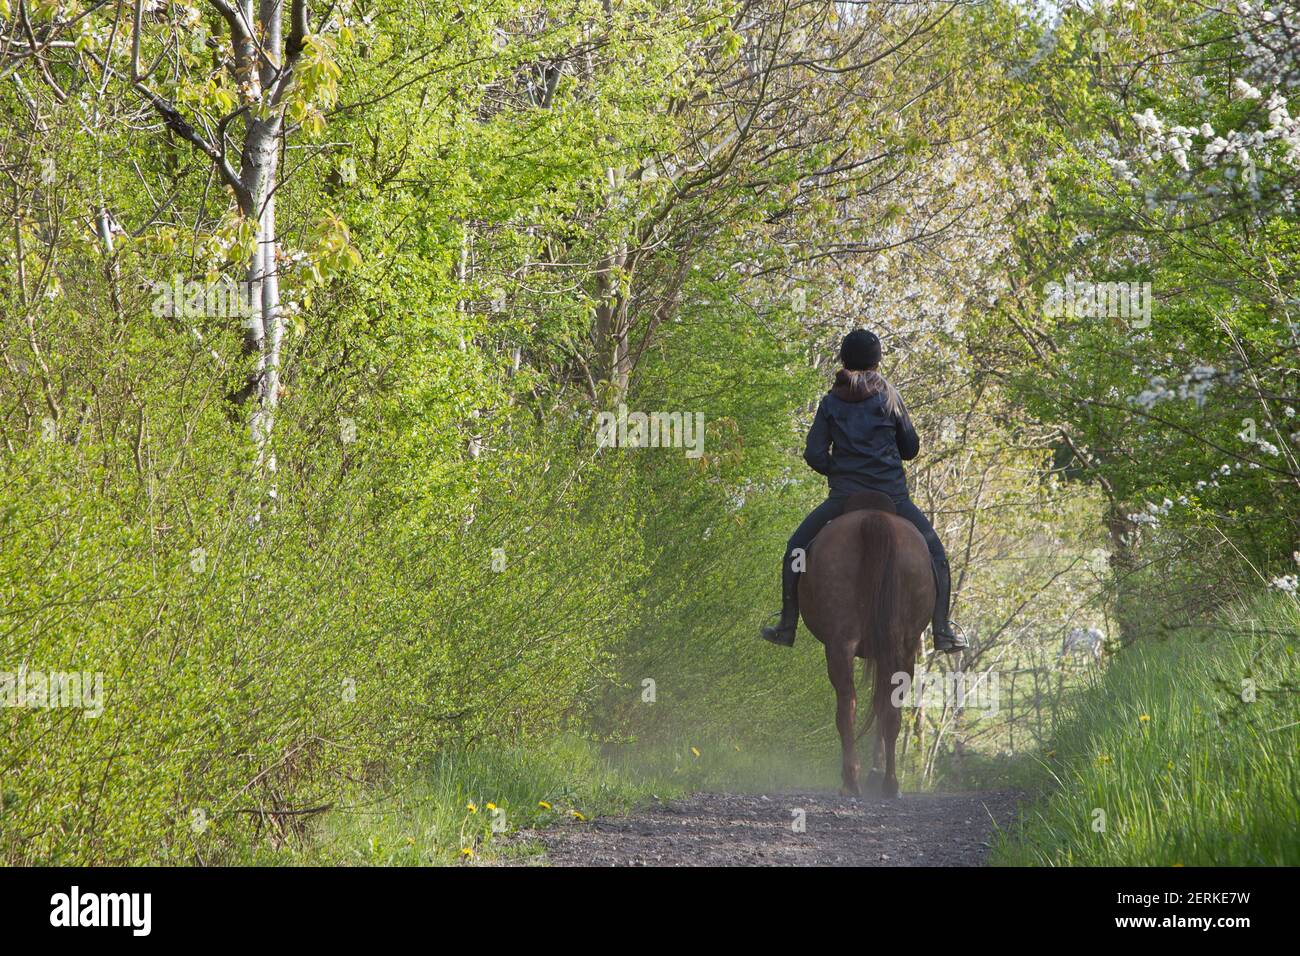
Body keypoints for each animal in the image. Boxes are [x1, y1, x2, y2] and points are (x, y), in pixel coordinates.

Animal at [798, 490, 935, 798]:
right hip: (902, 647)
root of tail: (875, 519)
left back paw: (852, 781)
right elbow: (882, 703)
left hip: (842, 643)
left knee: (847, 706)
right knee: (887, 709)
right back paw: (889, 783)